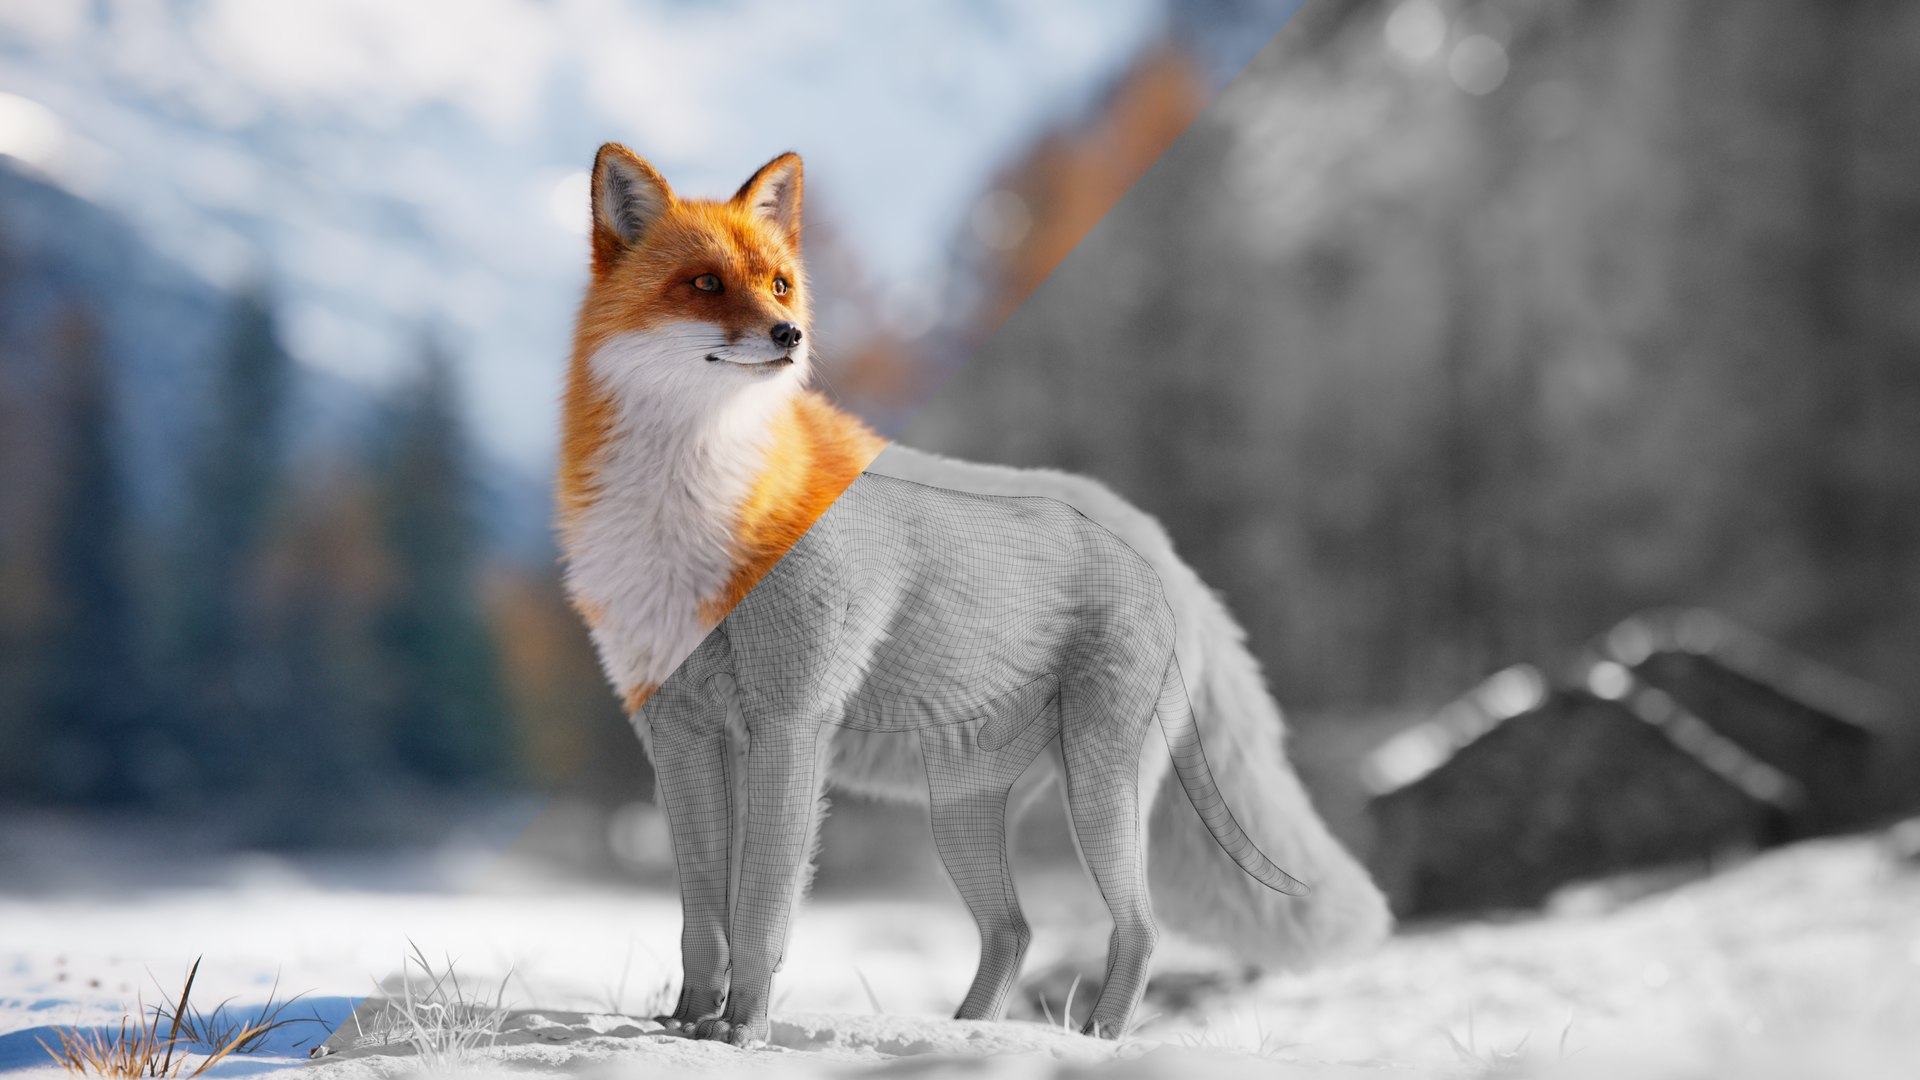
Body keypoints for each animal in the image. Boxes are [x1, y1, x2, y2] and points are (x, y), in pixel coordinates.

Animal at [557, 144, 1391, 1047]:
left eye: (778, 284)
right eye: (706, 283)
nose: (790, 335)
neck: (691, 514)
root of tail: (1165, 549)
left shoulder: (790, 723)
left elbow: (760, 912)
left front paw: (743, 1033)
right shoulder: (678, 736)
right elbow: (701, 919)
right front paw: (686, 1023)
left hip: (1097, 790)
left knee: (1138, 929)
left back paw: (1095, 1040)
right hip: (962, 811)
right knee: (1013, 931)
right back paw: (967, 1035)